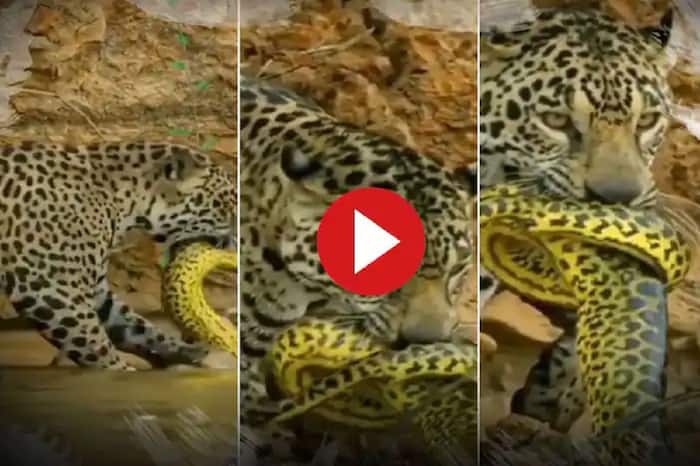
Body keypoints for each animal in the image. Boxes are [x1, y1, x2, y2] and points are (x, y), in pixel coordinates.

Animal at [0, 141, 234, 370]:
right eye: (226, 206)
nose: (236, 242)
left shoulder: (97, 290)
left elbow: (134, 325)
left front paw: (186, 351)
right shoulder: (51, 289)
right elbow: (94, 343)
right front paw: (120, 369)